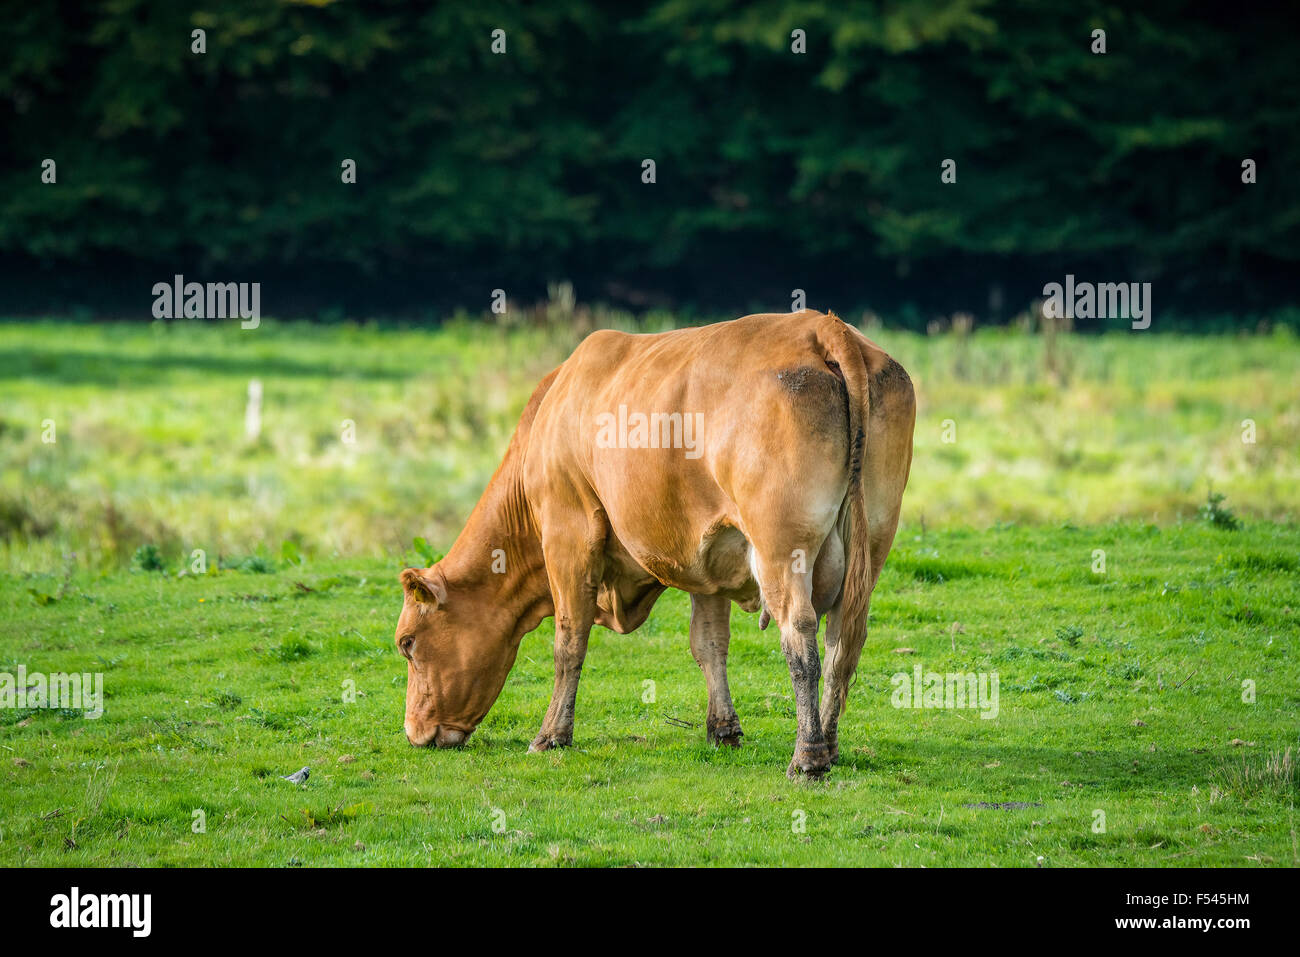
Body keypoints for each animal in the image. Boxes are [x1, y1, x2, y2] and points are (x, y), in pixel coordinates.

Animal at [395, 309, 915, 776]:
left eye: (407, 643)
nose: (413, 734)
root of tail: (823, 326)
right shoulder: (710, 558)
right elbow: (709, 644)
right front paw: (723, 729)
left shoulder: (567, 531)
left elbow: (569, 640)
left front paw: (551, 735)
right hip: (873, 541)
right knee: (843, 642)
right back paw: (829, 744)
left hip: (781, 546)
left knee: (801, 637)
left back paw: (808, 757)